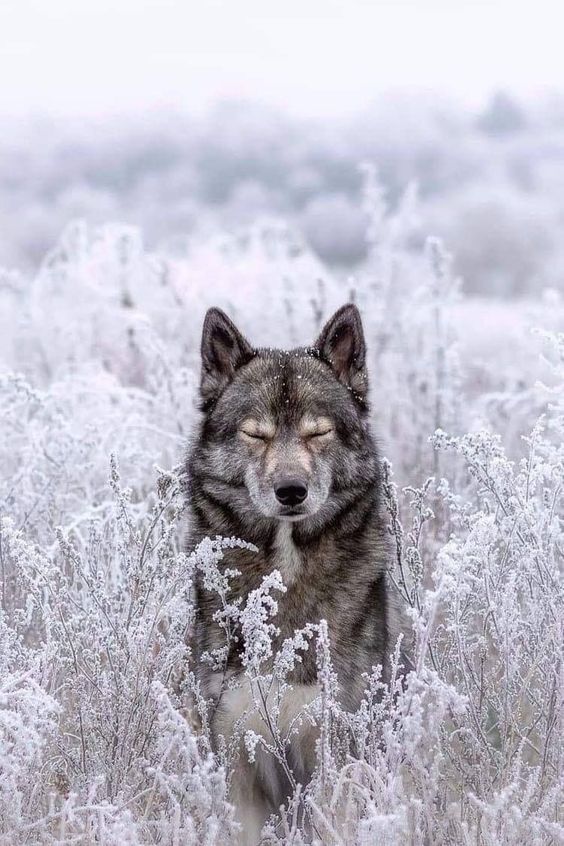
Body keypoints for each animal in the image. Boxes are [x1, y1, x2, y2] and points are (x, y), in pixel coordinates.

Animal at [185, 304, 403, 844]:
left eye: (317, 432)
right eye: (255, 433)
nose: (291, 490)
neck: (285, 574)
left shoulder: (334, 753)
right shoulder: (236, 755)